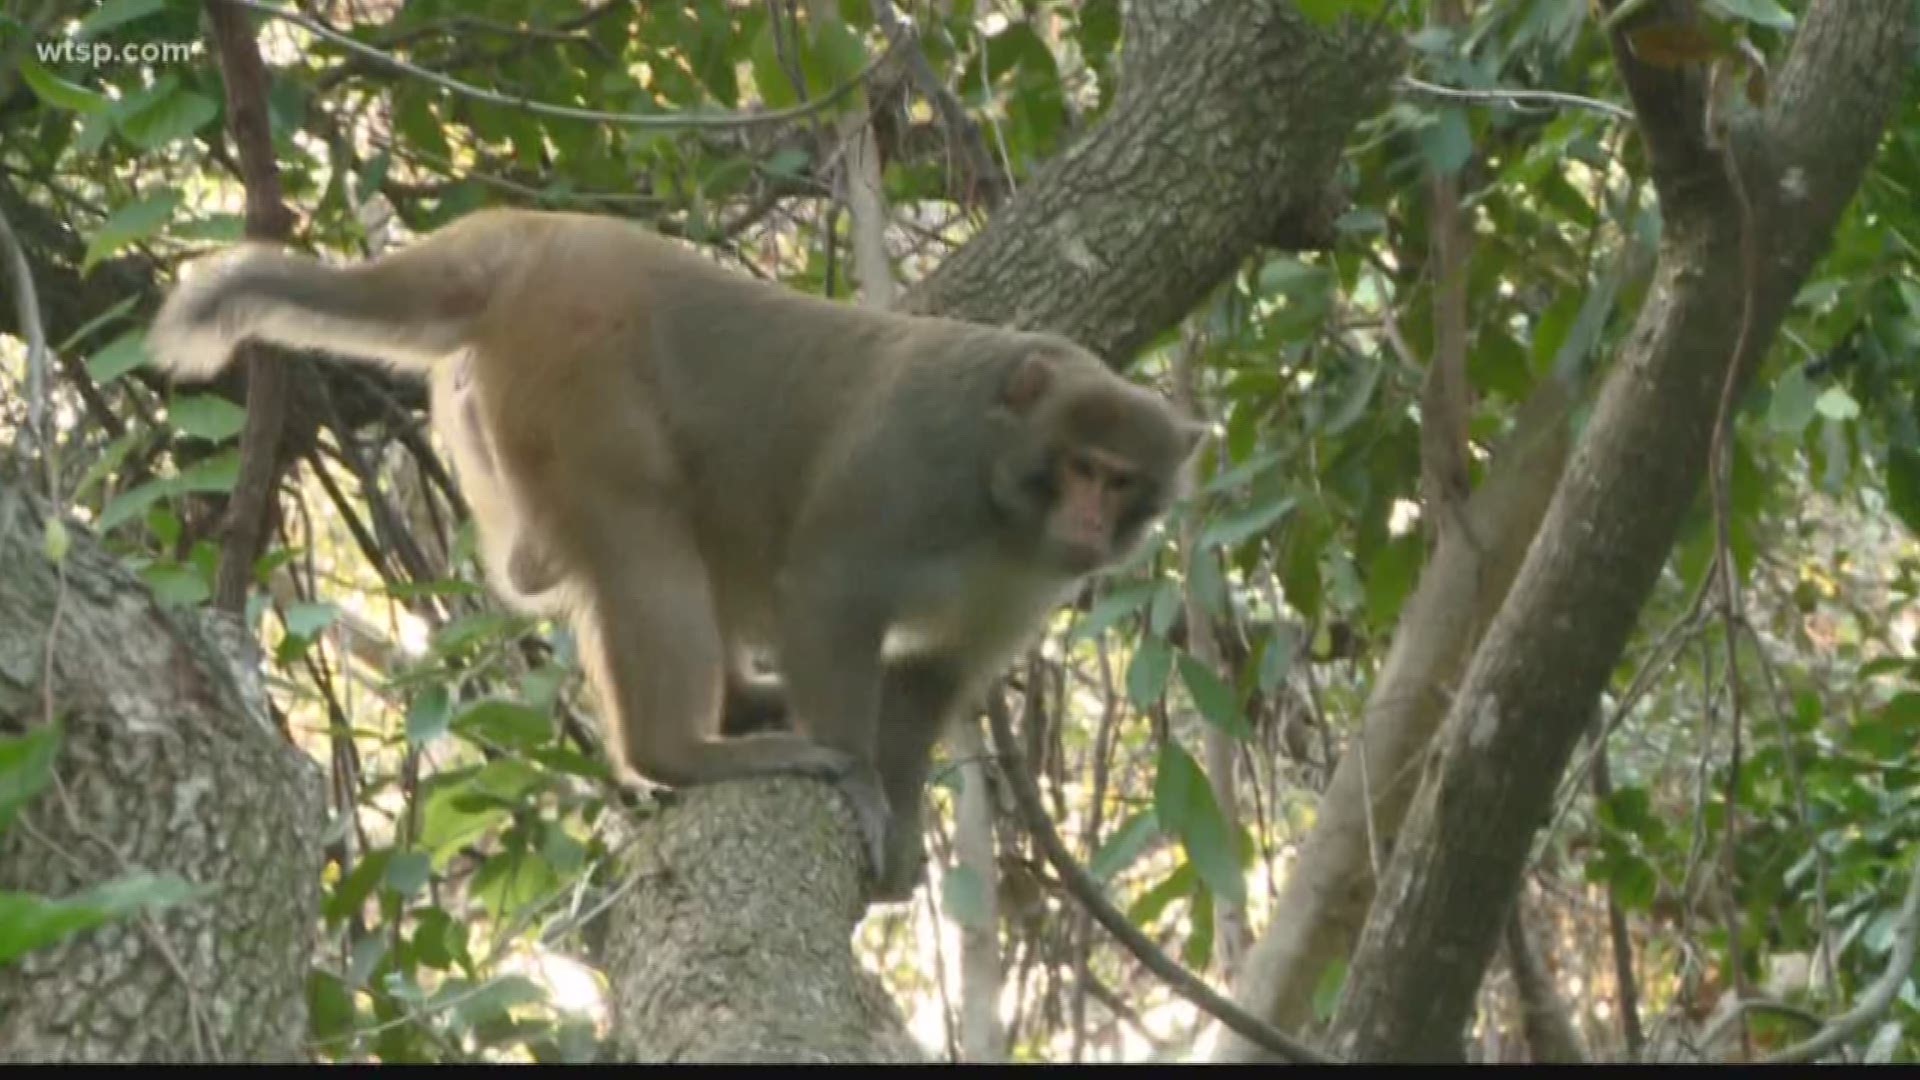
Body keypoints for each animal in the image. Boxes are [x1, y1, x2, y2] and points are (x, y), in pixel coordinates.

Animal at [149, 209, 1203, 899]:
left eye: (1120, 481)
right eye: (1080, 466)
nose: (1089, 522)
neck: (999, 496)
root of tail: (541, 237)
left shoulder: (1023, 582)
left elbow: (931, 675)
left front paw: (900, 827)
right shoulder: (912, 465)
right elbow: (829, 590)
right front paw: (865, 782)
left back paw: (734, 704)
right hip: (578, 371)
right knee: (645, 533)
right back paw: (683, 751)